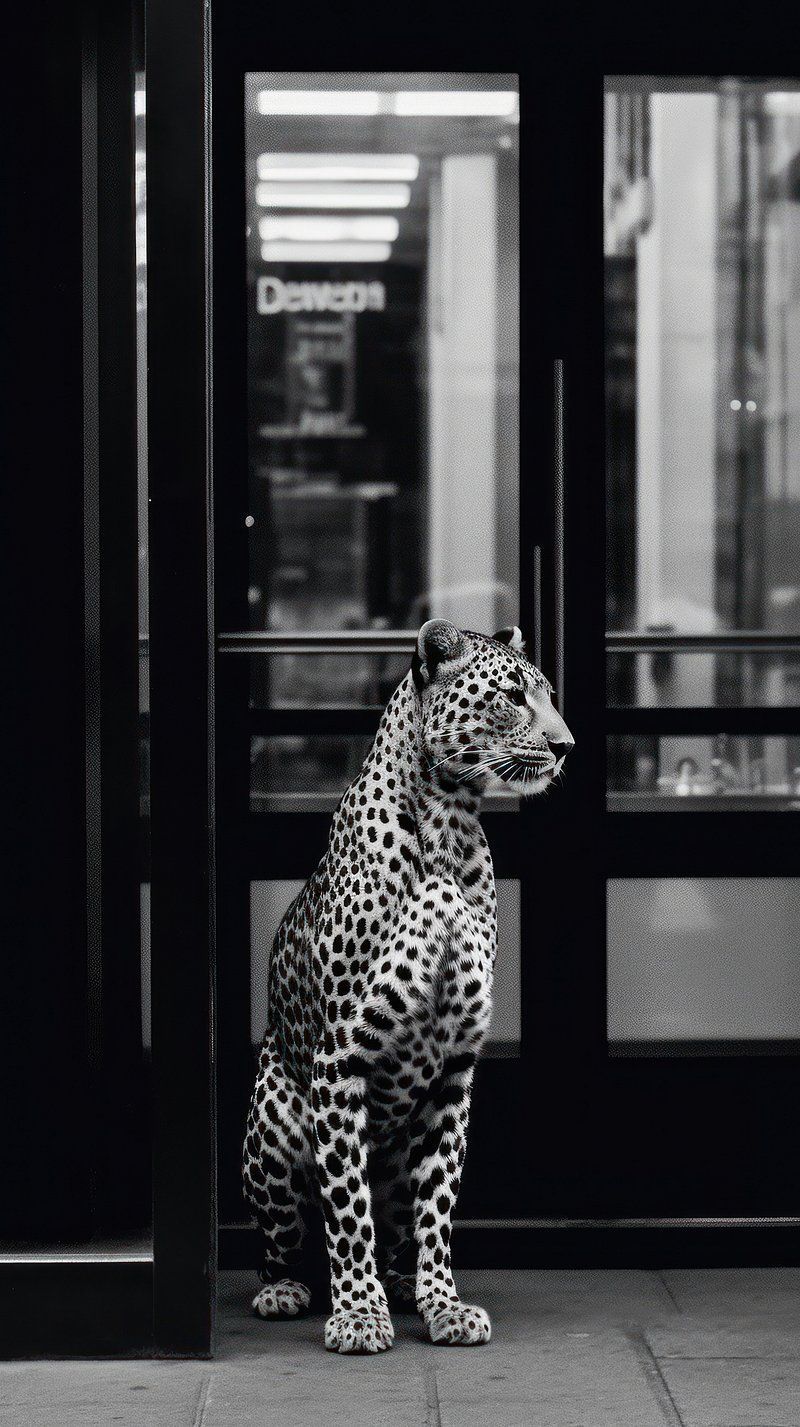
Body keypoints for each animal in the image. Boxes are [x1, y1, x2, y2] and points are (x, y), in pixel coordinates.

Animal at [242, 619, 574, 1353]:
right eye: (513, 695)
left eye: (547, 694)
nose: (566, 745)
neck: (452, 821)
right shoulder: (341, 1059)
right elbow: (347, 1209)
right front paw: (359, 1316)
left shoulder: (454, 1068)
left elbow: (436, 1209)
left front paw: (443, 1305)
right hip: (273, 1122)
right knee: (284, 1242)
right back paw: (290, 1289)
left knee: (398, 1229)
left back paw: (403, 1285)